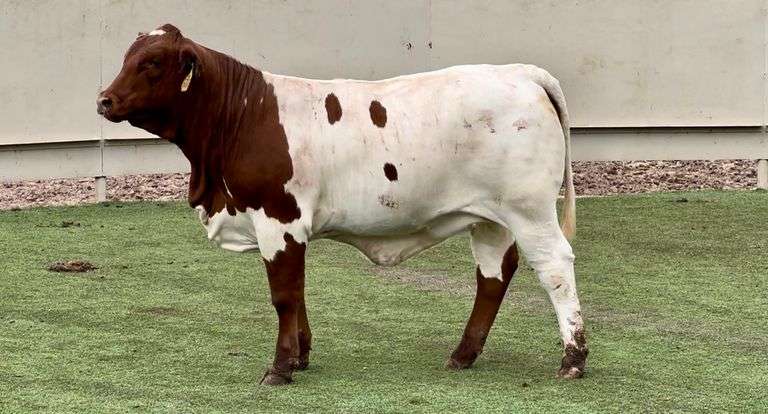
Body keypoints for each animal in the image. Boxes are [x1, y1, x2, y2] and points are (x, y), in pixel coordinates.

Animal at [97, 24, 588, 385]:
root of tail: (521, 72)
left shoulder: (279, 217)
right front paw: (300, 357)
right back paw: (462, 355)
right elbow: (297, 291)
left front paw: (280, 368)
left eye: (152, 62)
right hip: (489, 216)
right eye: (126, 57)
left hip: (529, 210)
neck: (244, 114)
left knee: (555, 267)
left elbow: (283, 295)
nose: (104, 100)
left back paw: (573, 359)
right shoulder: (290, 228)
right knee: (493, 275)